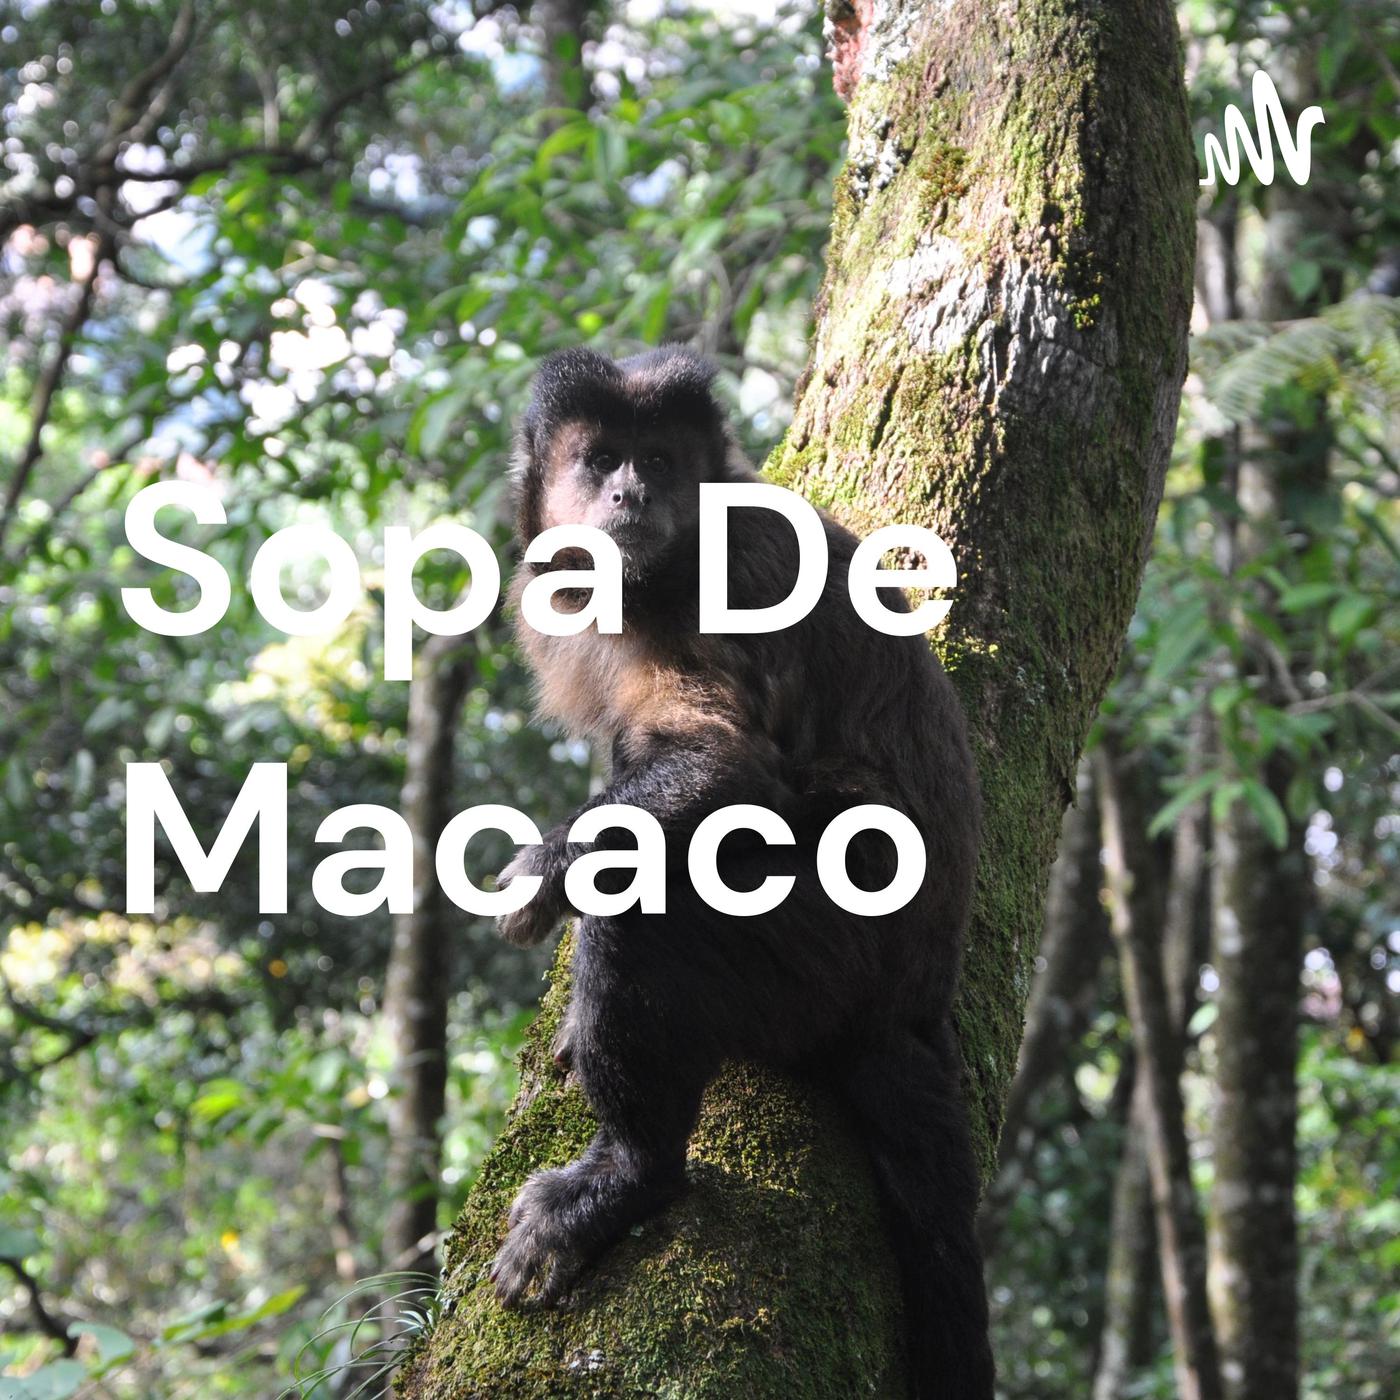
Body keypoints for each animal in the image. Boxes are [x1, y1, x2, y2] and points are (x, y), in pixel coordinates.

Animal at [487, 344, 994, 1399]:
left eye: (658, 462)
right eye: (601, 459)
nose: (631, 492)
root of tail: (912, 1005)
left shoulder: (719, 583)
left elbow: (723, 765)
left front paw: (547, 868)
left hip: (823, 965)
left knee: (654, 898)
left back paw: (629, 1177)